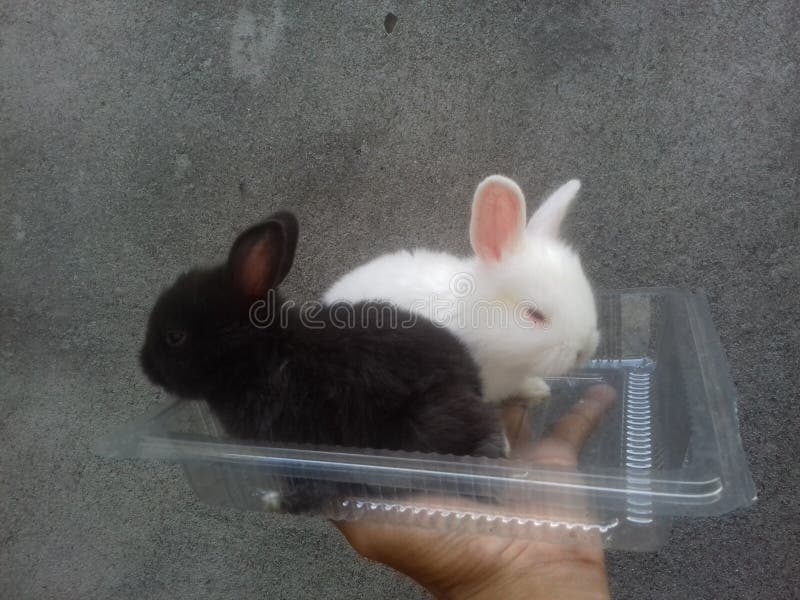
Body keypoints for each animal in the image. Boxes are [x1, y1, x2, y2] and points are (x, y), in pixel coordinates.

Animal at [139, 211, 508, 512]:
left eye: (175, 336)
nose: (144, 366)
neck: (264, 356)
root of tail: (473, 386)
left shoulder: (300, 443)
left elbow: (313, 489)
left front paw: (274, 501)